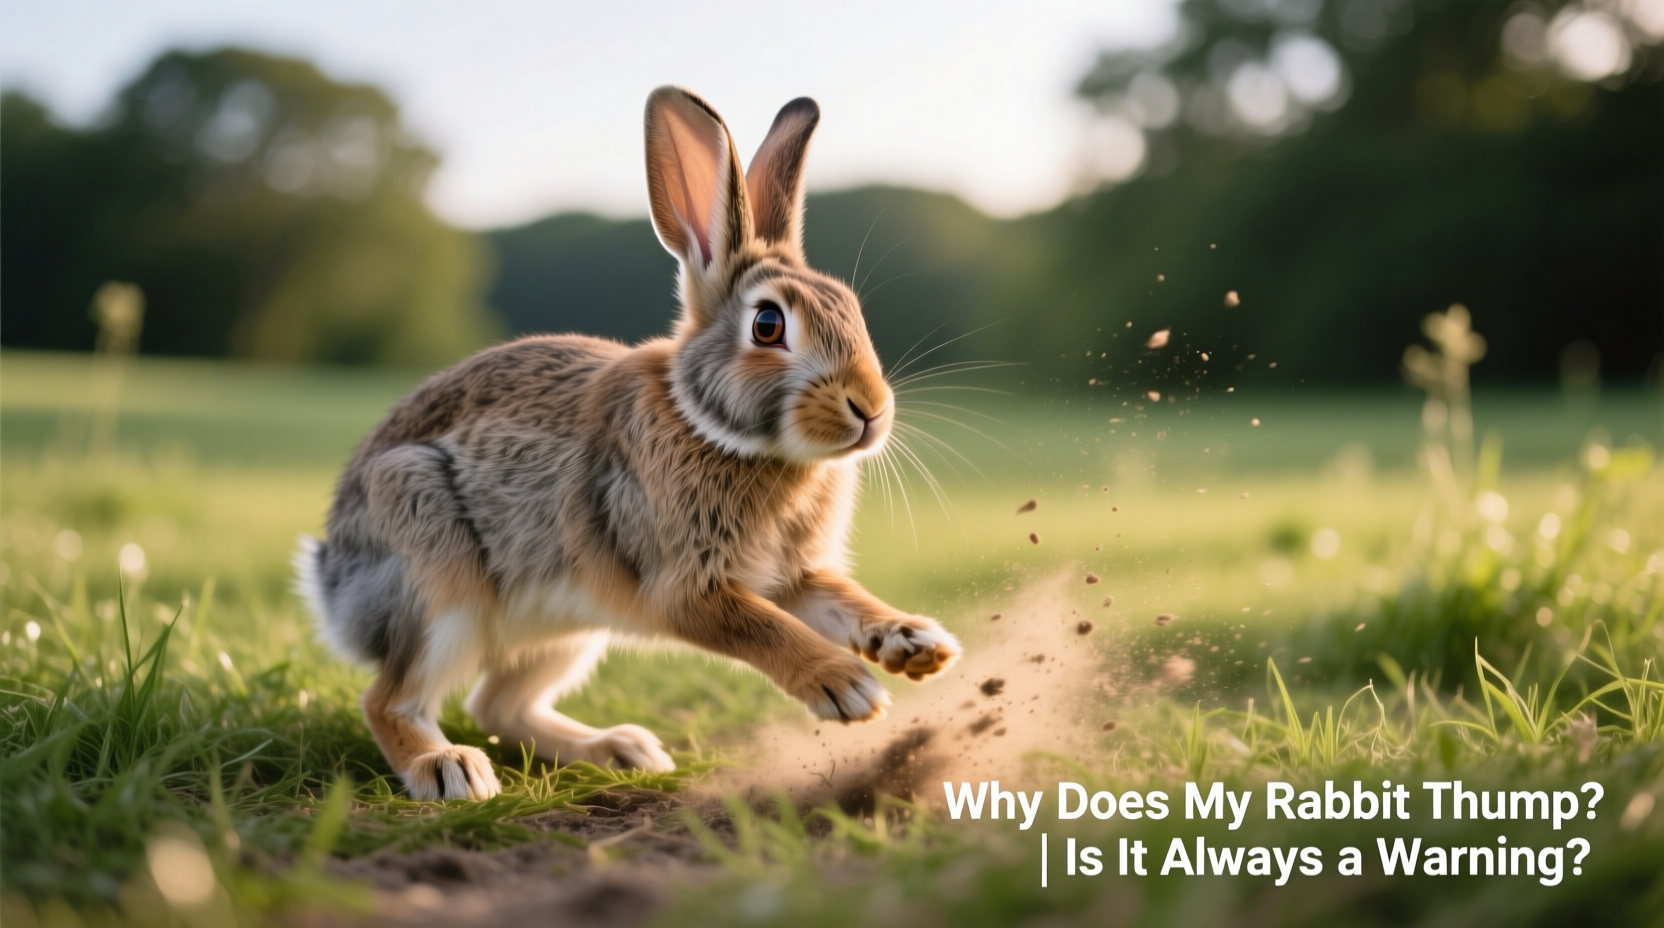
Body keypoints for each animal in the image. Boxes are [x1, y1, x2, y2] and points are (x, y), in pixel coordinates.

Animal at [295, 86, 962, 800]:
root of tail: (332, 583)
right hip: (436, 580)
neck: (715, 428)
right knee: (390, 699)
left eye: (852, 309)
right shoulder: (686, 584)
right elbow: (761, 625)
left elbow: (839, 600)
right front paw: (846, 684)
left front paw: (914, 642)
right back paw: (448, 770)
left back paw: (621, 750)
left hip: (564, 630)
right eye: (768, 324)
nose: (872, 410)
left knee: (497, 705)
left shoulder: (791, 574)